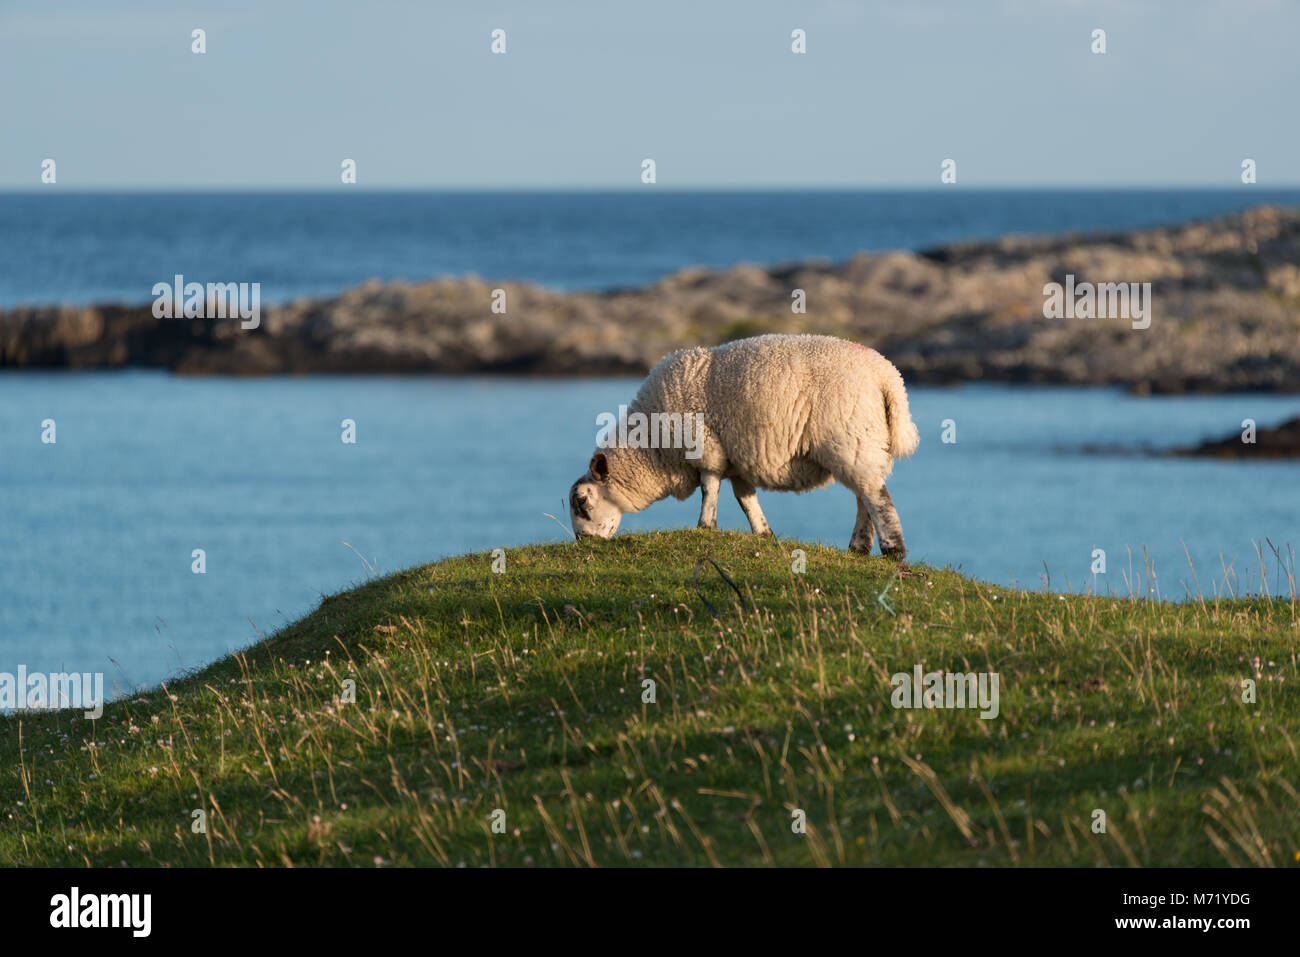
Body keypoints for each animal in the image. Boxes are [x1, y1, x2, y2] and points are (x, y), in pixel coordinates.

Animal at [568, 333, 920, 558]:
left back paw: (893, 550)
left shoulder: (706, 449)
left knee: (876, 497)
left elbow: (709, 489)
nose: (582, 543)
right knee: (865, 495)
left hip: (850, 437)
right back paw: (858, 548)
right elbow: (745, 498)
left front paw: (705, 527)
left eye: (582, 502)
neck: (653, 447)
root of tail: (888, 376)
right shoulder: (737, 459)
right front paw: (763, 533)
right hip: (864, 443)